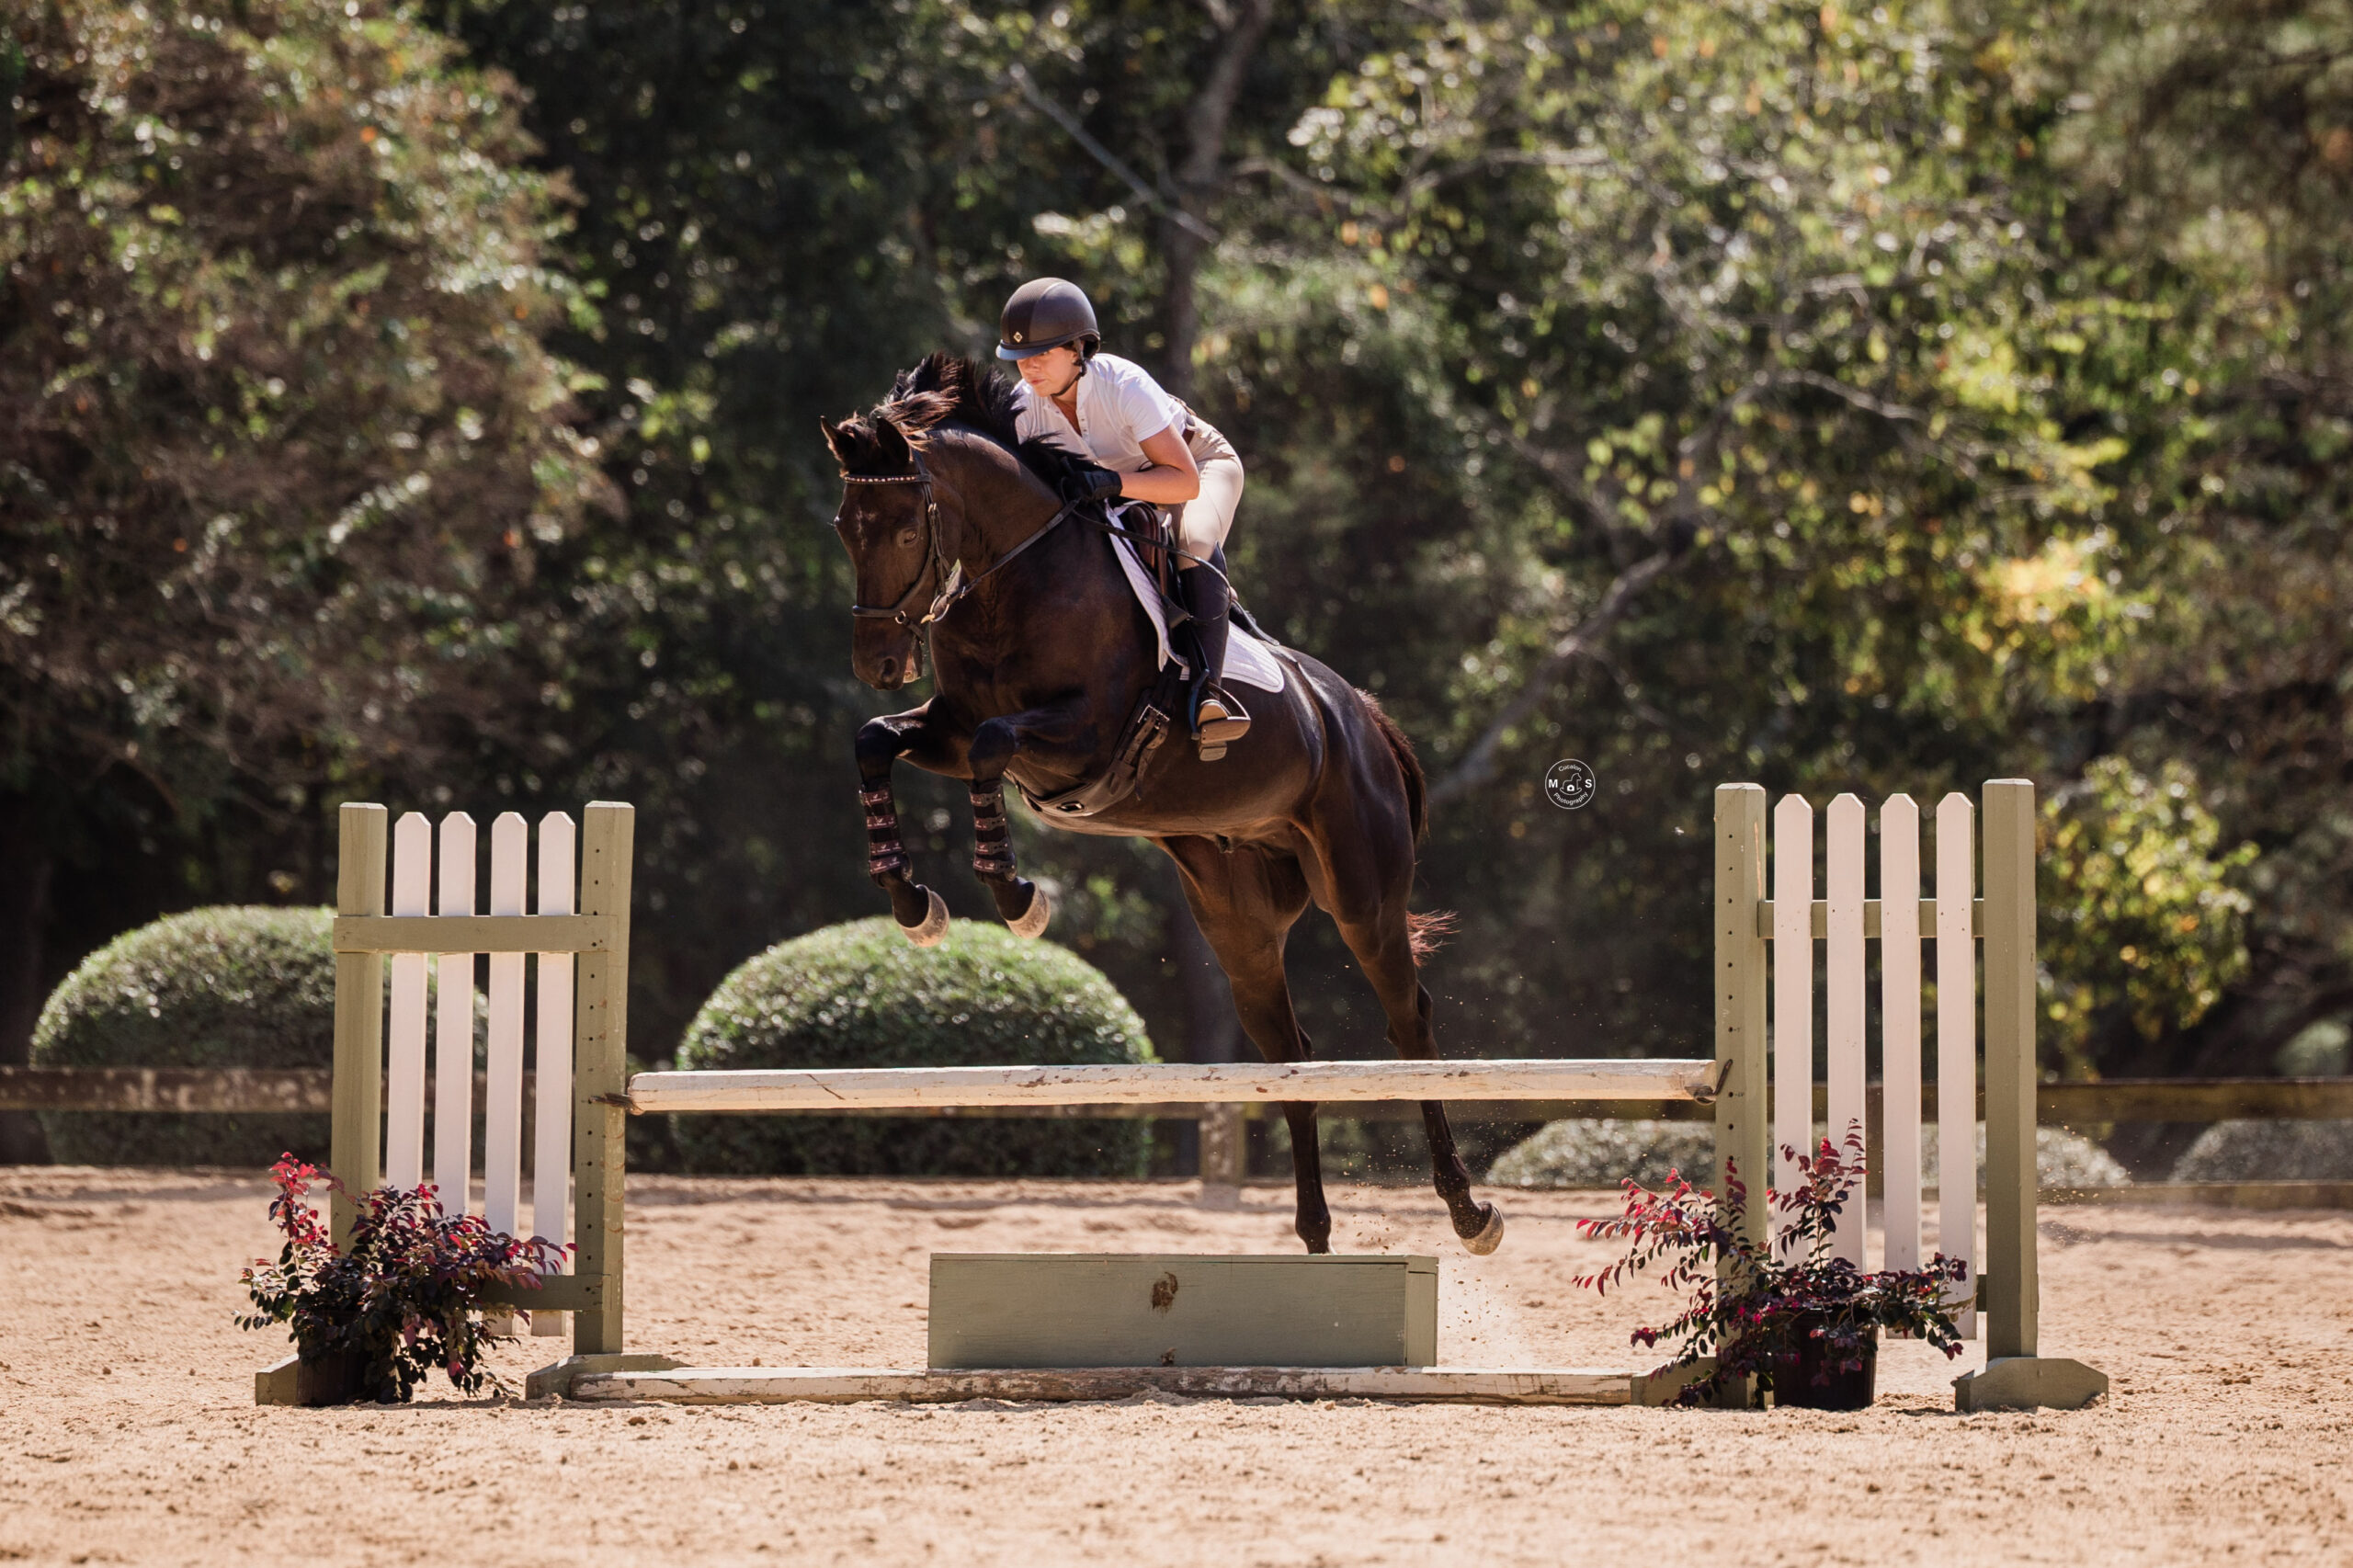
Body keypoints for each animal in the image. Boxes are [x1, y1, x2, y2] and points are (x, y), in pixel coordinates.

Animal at [818, 353, 1502, 1257]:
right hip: (1236, 919)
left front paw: (1017, 896)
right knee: (1287, 1051)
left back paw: (1467, 1213)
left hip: (1362, 892)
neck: (1015, 577)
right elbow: (876, 741)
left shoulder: (1083, 737)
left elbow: (996, 747)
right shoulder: (951, 727)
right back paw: (1315, 1234)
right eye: (843, 527)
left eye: (903, 531)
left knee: (1409, 1023)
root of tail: (1356, 711)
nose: (880, 663)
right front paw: (911, 901)